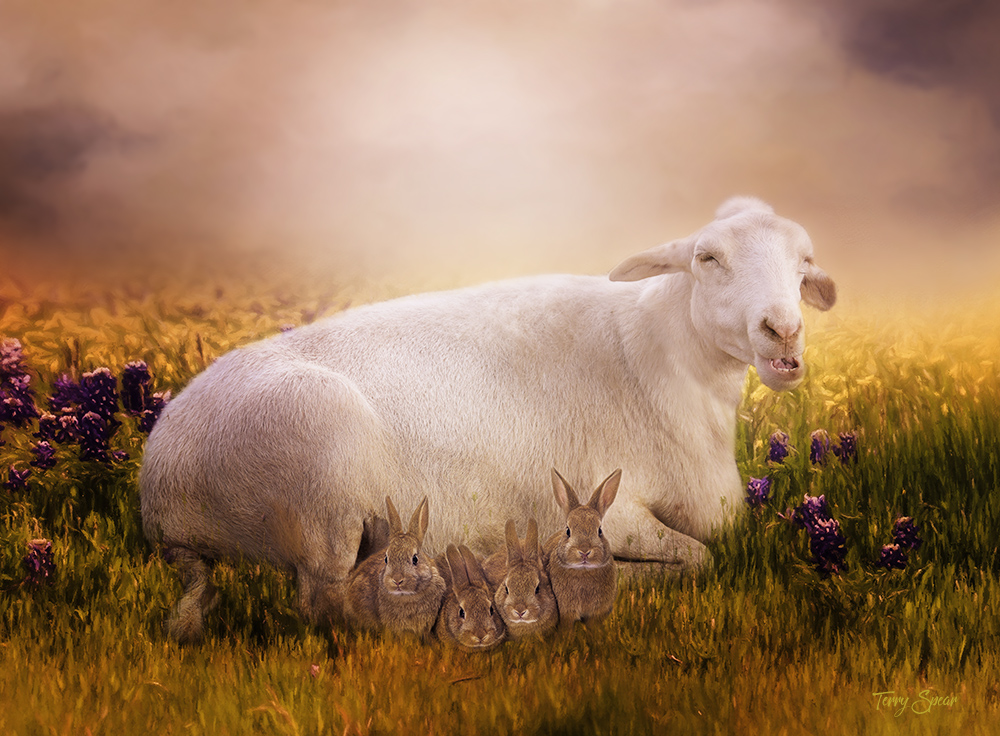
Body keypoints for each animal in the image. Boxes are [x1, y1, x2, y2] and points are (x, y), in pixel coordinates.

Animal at [139, 196, 836, 638]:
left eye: (804, 264)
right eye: (707, 259)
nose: (782, 331)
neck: (655, 356)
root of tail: (161, 483)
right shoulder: (611, 507)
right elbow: (697, 560)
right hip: (321, 485)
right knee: (323, 601)